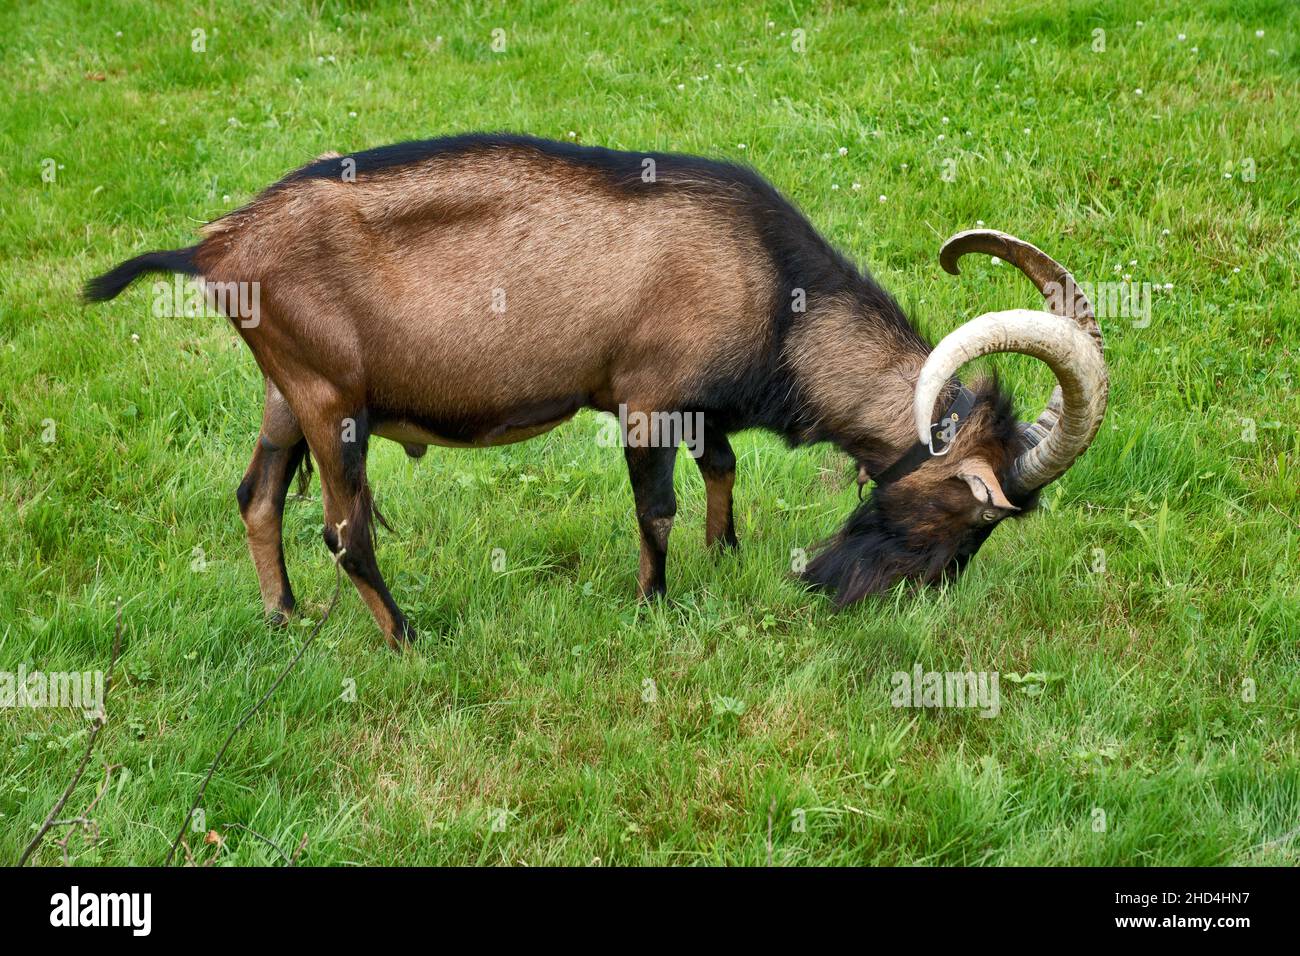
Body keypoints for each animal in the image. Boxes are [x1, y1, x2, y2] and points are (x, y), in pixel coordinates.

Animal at [85, 133, 1108, 647]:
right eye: (971, 511)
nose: (846, 595)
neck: (774, 290)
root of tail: (215, 250)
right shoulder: (646, 398)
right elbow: (655, 507)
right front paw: (656, 606)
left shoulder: (700, 403)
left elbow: (722, 466)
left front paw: (727, 553)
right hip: (331, 397)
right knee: (345, 531)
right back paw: (406, 636)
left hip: (285, 390)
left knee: (257, 495)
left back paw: (283, 615)